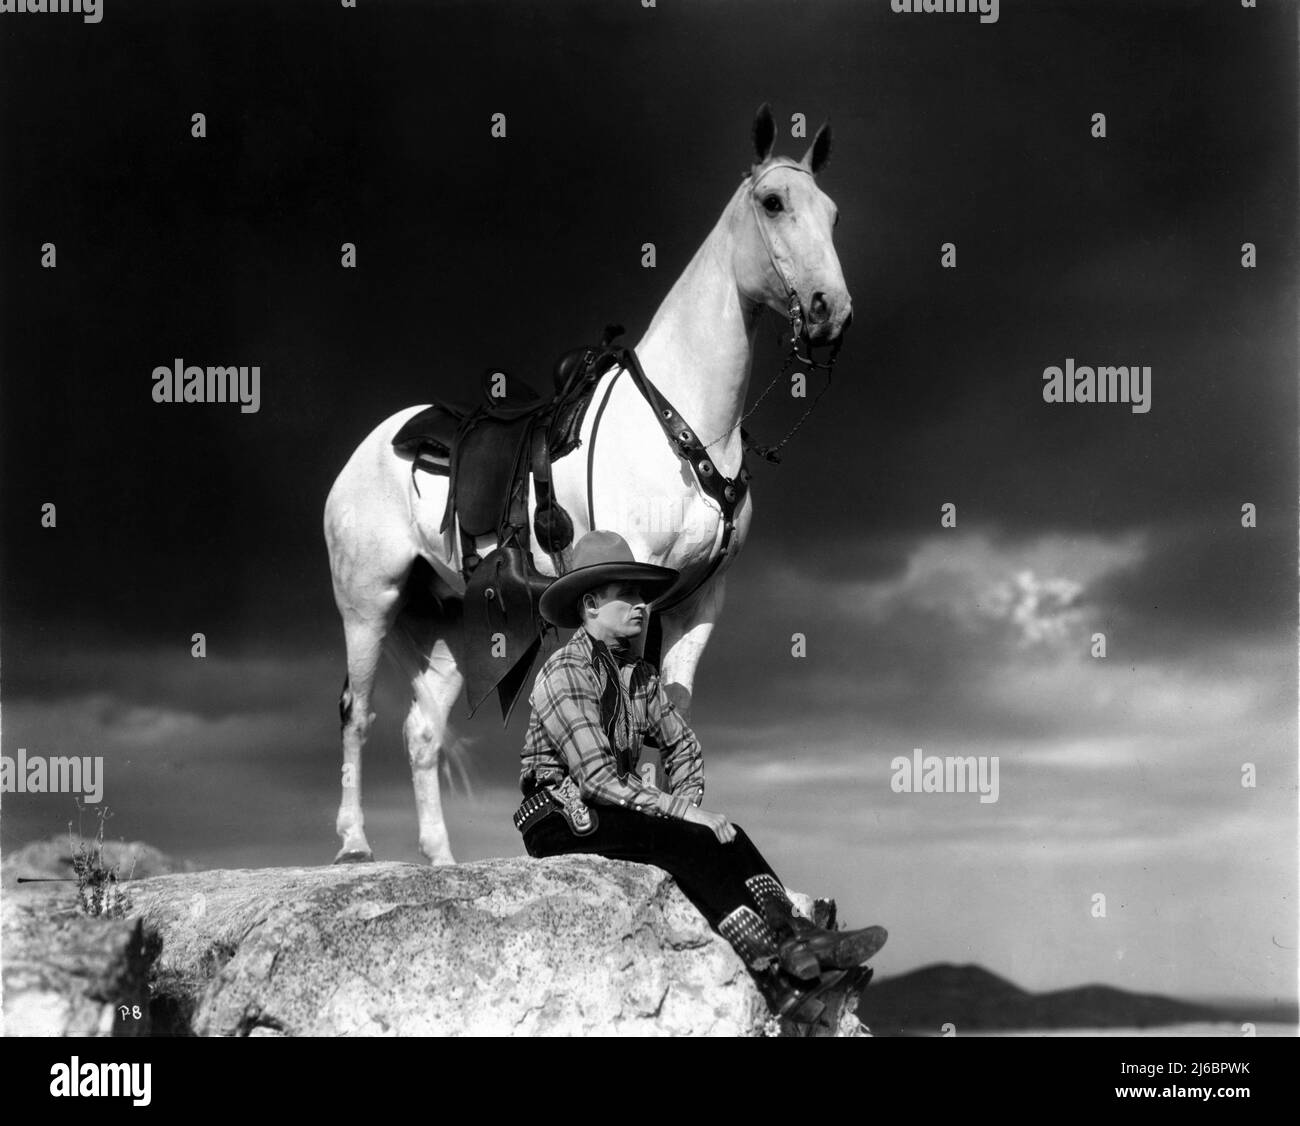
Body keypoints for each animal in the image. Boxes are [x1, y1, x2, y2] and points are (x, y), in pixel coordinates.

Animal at [323, 104, 853, 865]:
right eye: (774, 202)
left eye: (832, 214)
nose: (829, 310)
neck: (685, 418)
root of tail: (367, 448)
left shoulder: (702, 601)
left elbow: (671, 706)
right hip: (368, 603)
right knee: (356, 712)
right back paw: (354, 845)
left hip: (444, 623)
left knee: (420, 732)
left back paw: (441, 860)